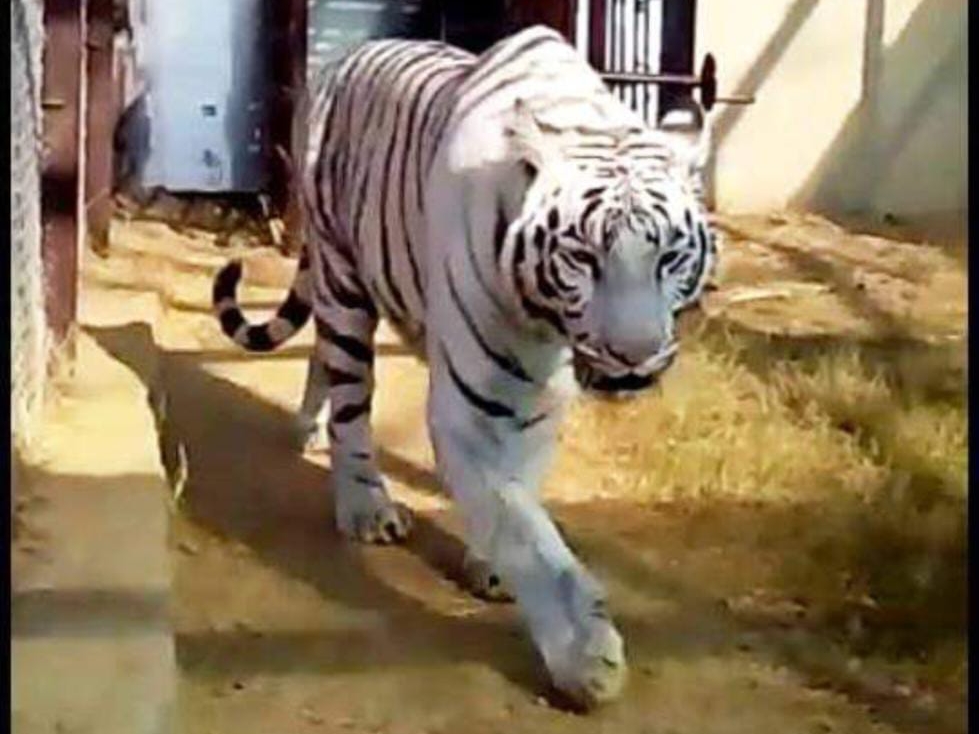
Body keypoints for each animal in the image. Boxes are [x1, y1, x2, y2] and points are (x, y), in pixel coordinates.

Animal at [212, 26, 716, 708]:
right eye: (583, 257)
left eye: (668, 257)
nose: (633, 357)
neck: (542, 317)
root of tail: (352, 52)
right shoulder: (467, 409)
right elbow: (522, 527)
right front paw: (586, 657)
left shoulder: (543, 402)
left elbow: (518, 488)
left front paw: (491, 564)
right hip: (344, 276)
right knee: (350, 395)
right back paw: (364, 504)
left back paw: (309, 428)